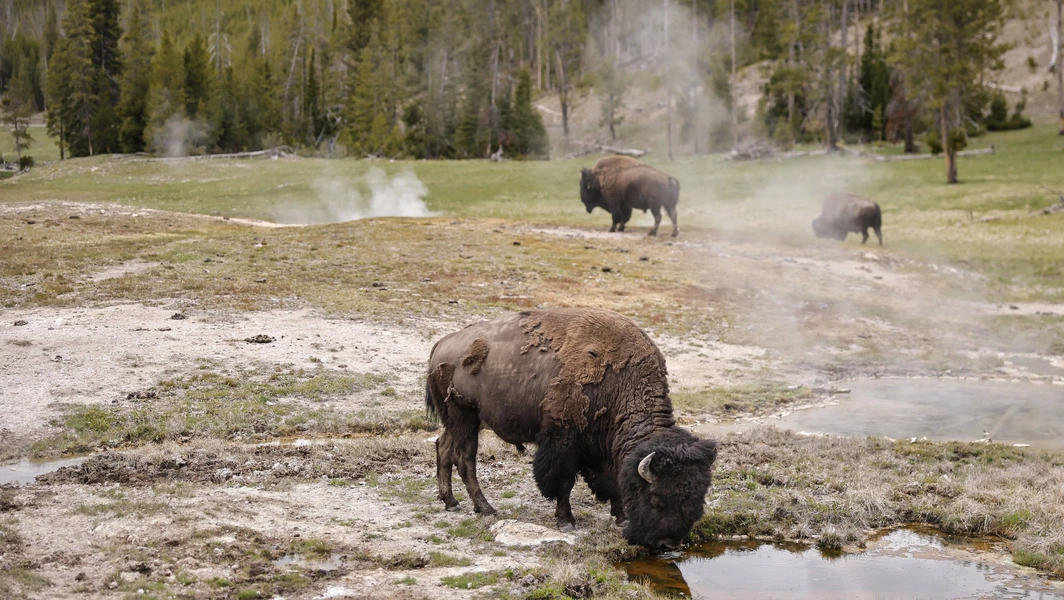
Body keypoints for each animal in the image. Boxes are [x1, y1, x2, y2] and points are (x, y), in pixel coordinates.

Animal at [425, 307, 718, 550]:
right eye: (656, 499)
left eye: (699, 498)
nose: (669, 544)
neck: (619, 385)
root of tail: (442, 344)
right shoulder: (562, 442)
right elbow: (564, 482)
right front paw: (566, 520)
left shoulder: (600, 449)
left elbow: (612, 482)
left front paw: (620, 517)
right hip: (465, 419)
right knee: (465, 460)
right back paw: (486, 508)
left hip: (455, 421)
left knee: (443, 448)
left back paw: (451, 502)